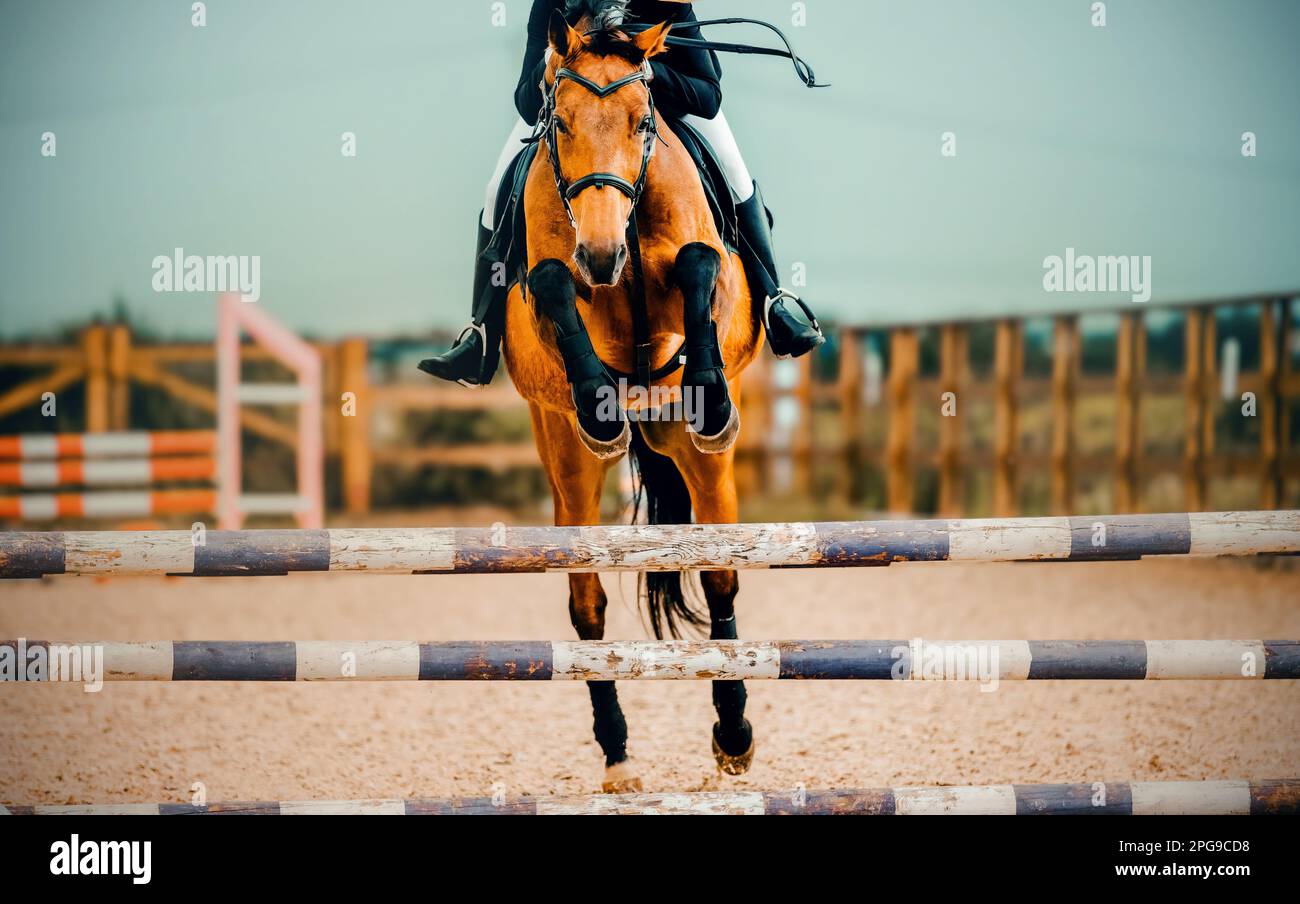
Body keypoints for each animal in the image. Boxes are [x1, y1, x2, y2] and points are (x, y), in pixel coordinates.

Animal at [501, 16, 763, 793]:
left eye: (643, 122)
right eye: (558, 121)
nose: (599, 252)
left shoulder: (707, 267)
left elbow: (700, 261)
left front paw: (709, 389)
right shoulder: (548, 289)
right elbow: (552, 282)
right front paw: (598, 402)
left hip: (703, 466)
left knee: (720, 578)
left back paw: (733, 735)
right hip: (567, 470)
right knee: (587, 606)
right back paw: (617, 754)